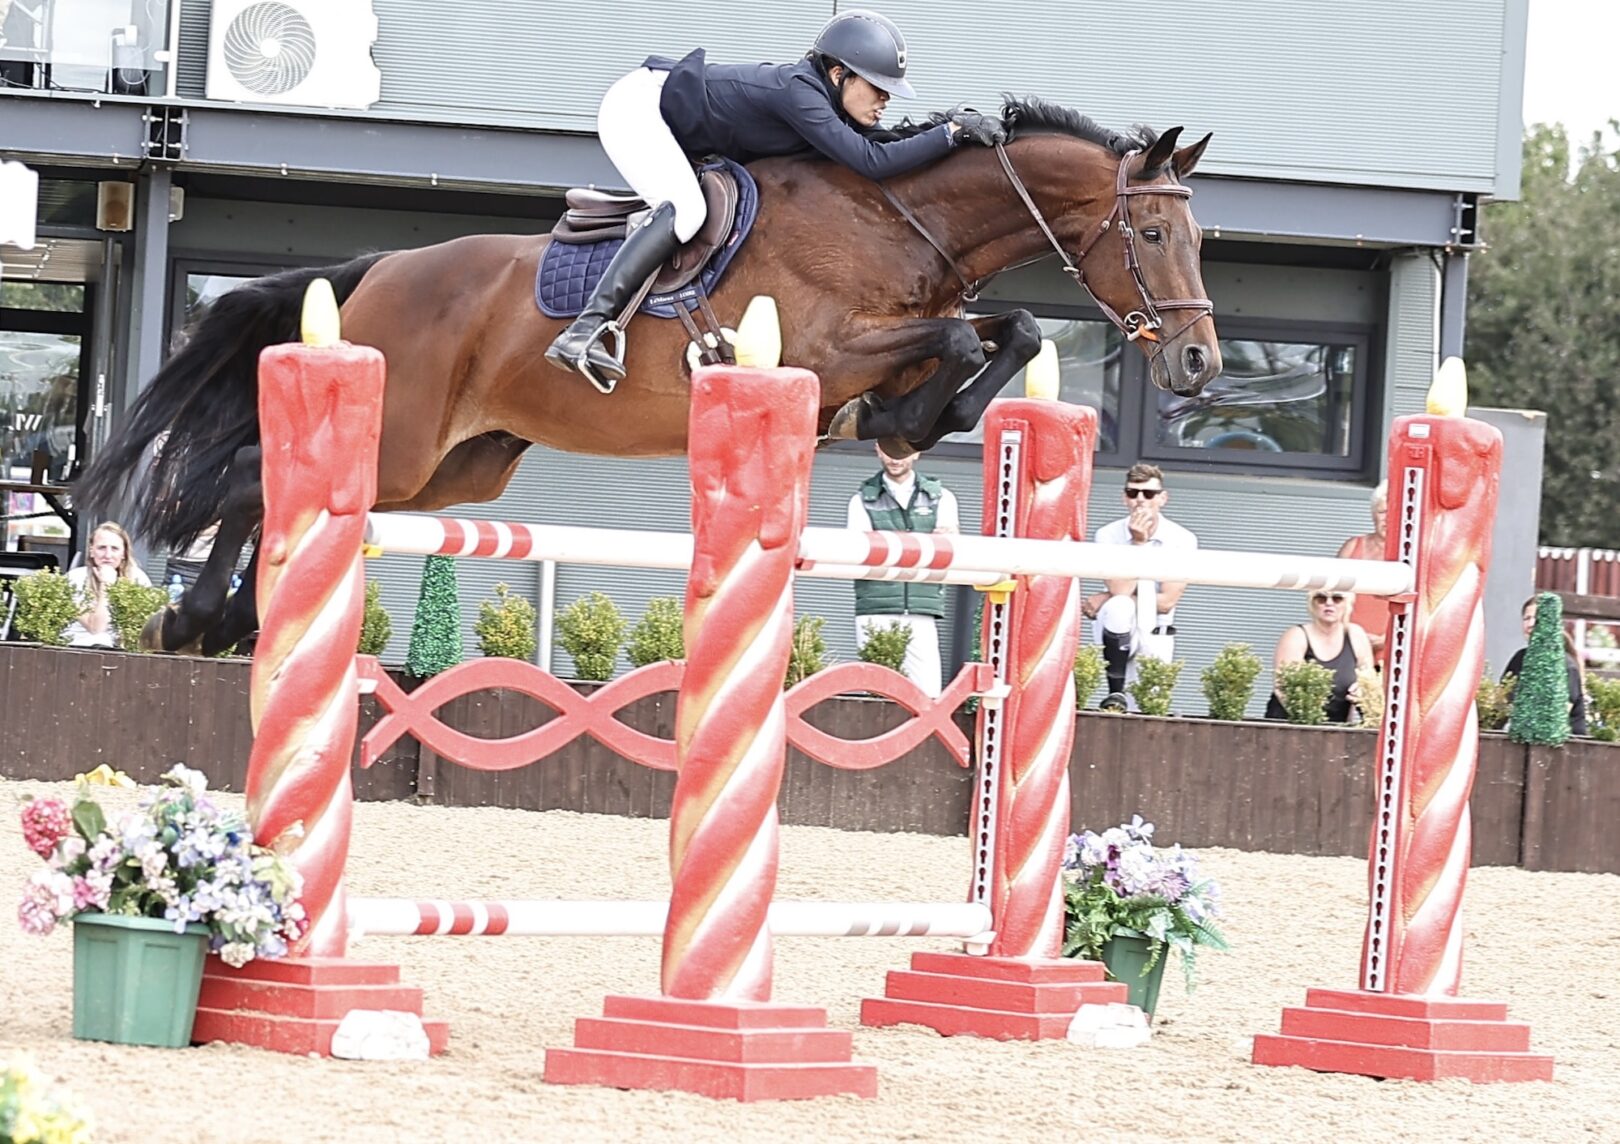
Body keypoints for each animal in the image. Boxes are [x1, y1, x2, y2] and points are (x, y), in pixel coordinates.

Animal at [76, 97, 1222, 656]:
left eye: (1198, 234)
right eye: (1152, 231)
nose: (1200, 361)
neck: (897, 215)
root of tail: (381, 270)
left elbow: (1010, 331)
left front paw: (909, 421)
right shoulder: (813, 352)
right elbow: (959, 344)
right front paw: (904, 413)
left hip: (454, 472)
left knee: (292, 492)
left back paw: (232, 618)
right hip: (402, 436)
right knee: (248, 477)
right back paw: (195, 617)